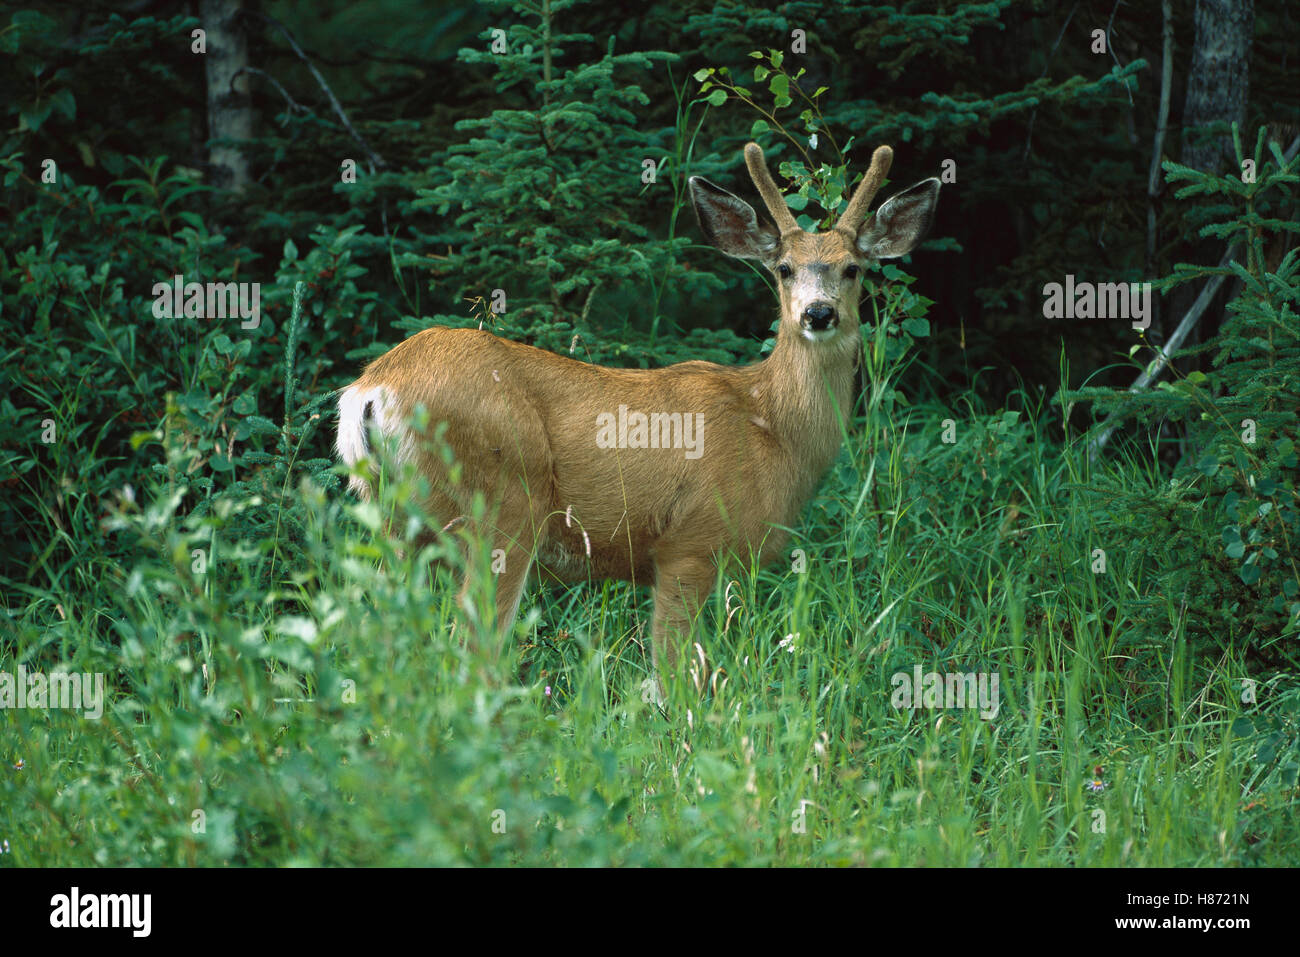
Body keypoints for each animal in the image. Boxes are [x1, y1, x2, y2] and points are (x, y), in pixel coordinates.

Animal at [335, 141, 940, 686]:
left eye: (854, 269)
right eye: (785, 269)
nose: (818, 313)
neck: (769, 424)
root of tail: (372, 389)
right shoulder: (687, 546)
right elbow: (674, 675)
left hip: (391, 520)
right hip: (501, 509)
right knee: (471, 650)